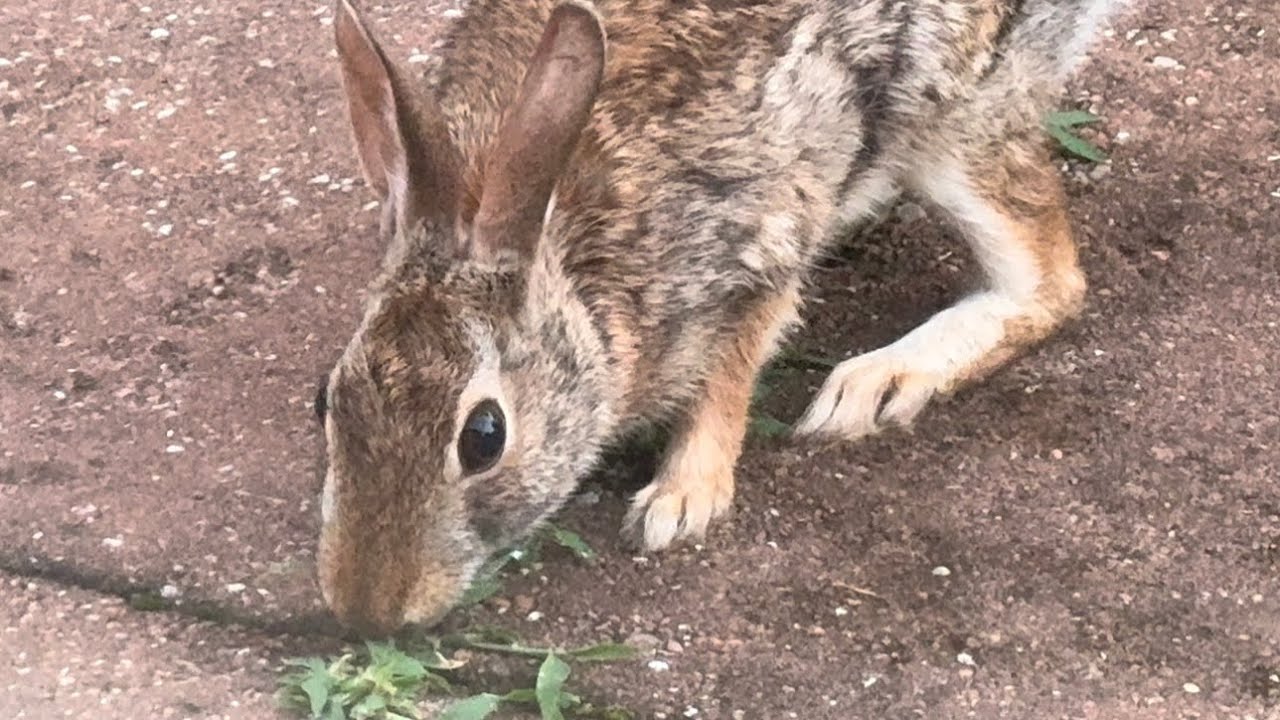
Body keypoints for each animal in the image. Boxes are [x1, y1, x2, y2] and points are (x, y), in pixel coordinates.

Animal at [315, 0, 1125, 634]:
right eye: (326, 399)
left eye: (484, 437)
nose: (368, 613)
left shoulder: (764, 239)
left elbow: (726, 378)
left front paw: (680, 501)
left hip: (951, 112)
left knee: (1049, 278)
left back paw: (877, 382)